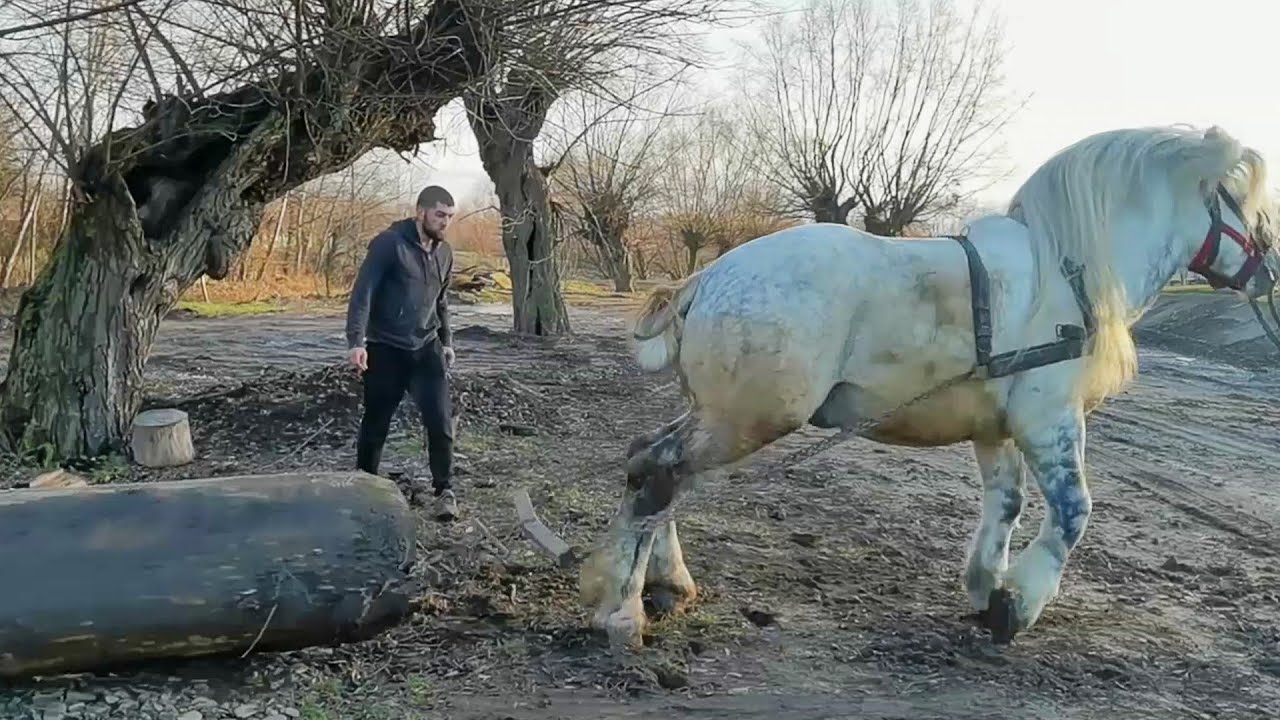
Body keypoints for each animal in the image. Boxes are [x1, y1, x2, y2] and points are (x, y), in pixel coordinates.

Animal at [577, 124, 1279, 650]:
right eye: (1244, 207)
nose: (1266, 272)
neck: (1065, 273)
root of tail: (706, 277)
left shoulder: (998, 430)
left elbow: (1005, 505)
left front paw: (987, 586)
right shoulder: (1050, 421)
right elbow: (1072, 512)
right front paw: (1017, 605)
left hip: (718, 412)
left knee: (657, 468)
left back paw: (667, 584)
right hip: (749, 417)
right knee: (661, 473)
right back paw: (623, 613)